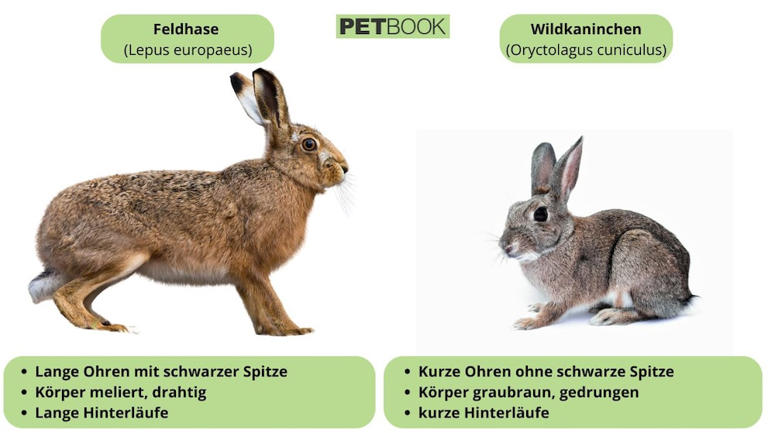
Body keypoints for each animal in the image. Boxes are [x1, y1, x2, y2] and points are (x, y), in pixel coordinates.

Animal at [28, 68, 348, 335]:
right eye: (310, 144)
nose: (345, 168)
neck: (283, 174)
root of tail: (45, 233)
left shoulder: (244, 277)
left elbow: (254, 306)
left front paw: (267, 332)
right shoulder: (254, 266)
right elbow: (272, 300)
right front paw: (296, 330)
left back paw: (105, 321)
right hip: (123, 254)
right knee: (66, 295)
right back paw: (104, 327)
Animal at [499, 137, 695, 329]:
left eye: (540, 214)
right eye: (511, 209)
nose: (505, 246)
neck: (563, 241)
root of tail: (683, 297)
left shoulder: (565, 295)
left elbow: (552, 312)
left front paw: (528, 322)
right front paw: (537, 306)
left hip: (634, 258)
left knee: (646, 312)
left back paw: (609, 316)